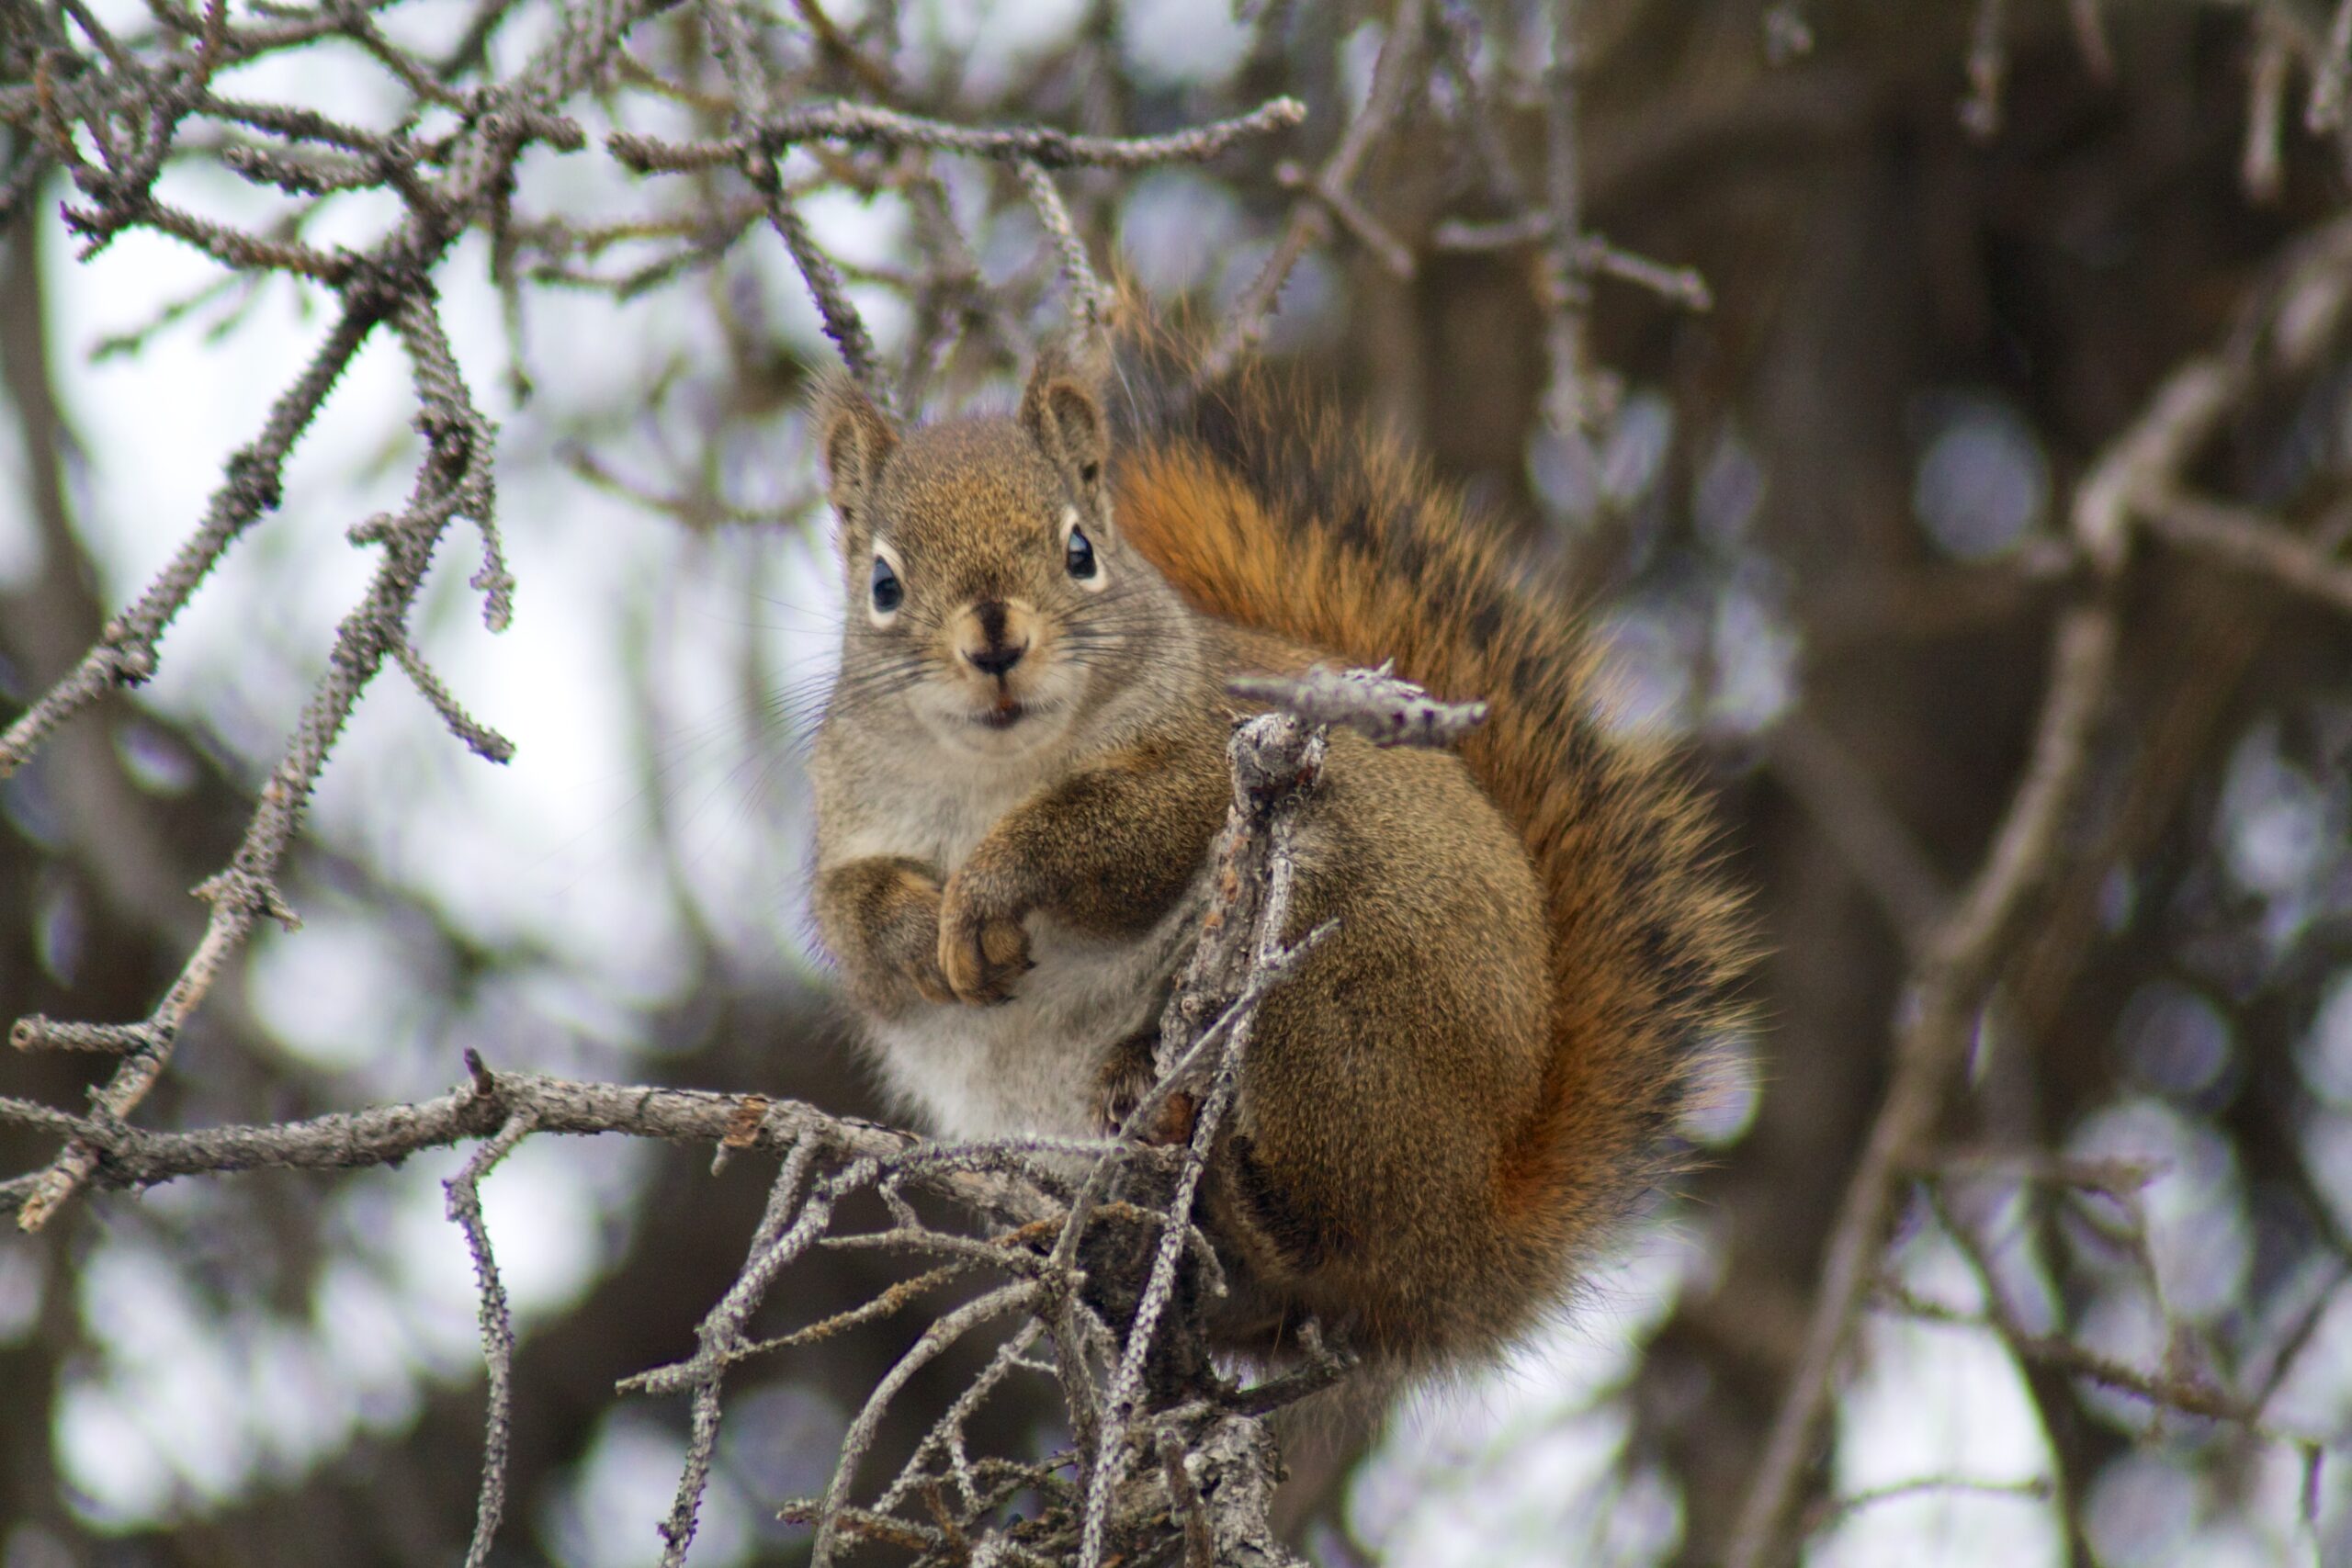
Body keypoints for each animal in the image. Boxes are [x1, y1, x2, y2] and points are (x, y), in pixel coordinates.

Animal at [805, 314, 1750, 1373]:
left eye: (1081, 550)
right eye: (882, 583)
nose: (996, 645)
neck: (991, 776)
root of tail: (1473, 1230)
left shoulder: (1197, 763)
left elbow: (1118, 838)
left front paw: (984, 893)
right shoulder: (845, 816)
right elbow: (852, 923)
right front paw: (923, 933)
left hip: (1329, 1003)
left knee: (1335, 1230)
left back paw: (1203, 1156)